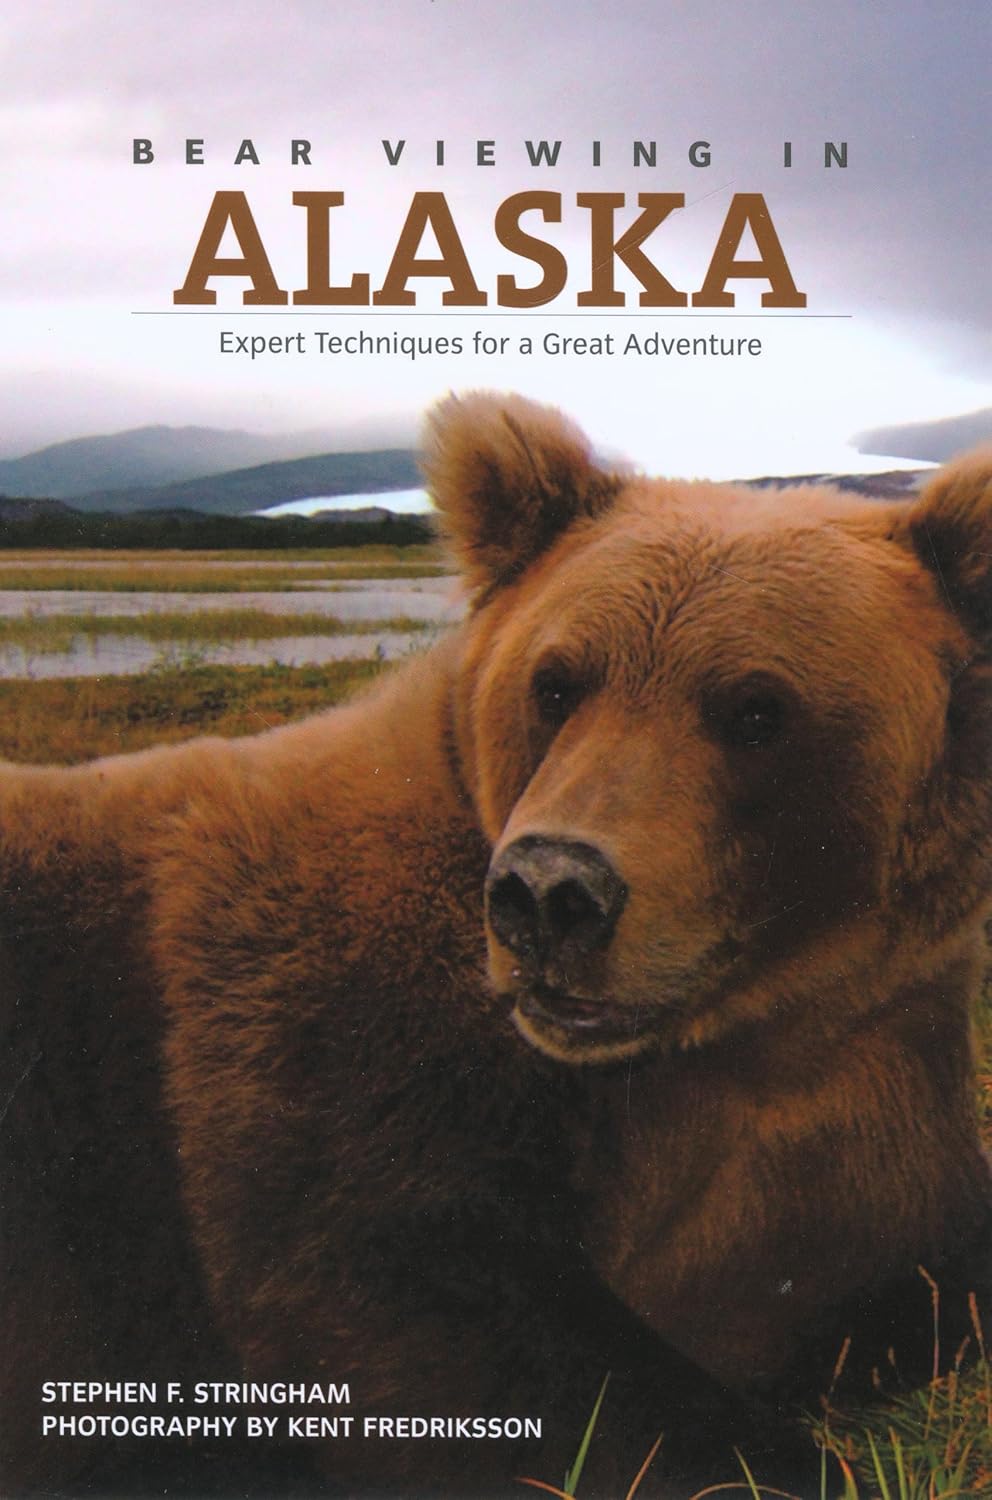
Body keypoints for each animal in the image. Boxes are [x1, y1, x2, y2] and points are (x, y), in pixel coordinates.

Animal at [1, 391, 991, 1500]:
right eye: (556, 683)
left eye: (755, 708)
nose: (551, 893)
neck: (732, 1036)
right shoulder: (333, 1066)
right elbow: (451, 1328)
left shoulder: (862, 1087)